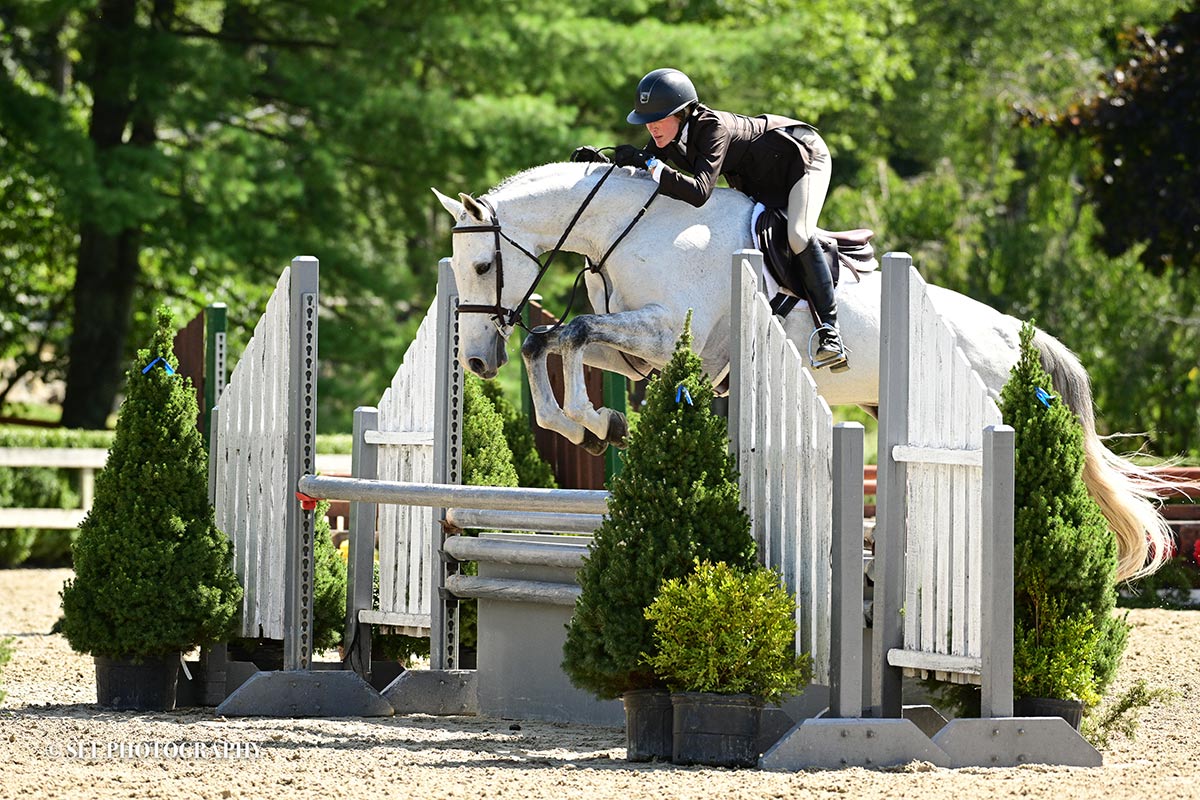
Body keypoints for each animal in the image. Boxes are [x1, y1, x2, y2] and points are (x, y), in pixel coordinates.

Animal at [432, 160, 1172, 582]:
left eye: (482, 265)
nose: (477, 359)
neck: (638, 227)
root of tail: (1016, 336)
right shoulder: (641, 350)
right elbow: (551, 343)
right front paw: (592, 425)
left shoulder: (668, 335)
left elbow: (573, 334)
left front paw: (593, 420)